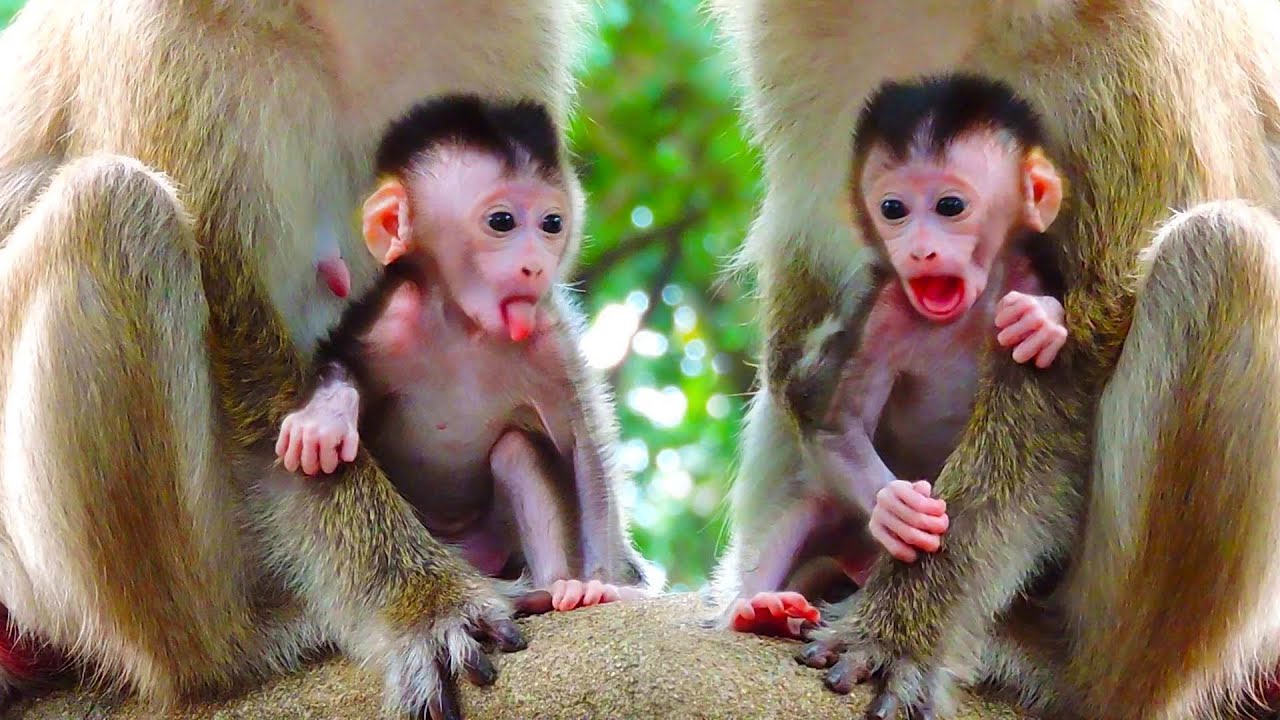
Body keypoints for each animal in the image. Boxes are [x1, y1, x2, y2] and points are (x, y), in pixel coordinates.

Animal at [274, 94, 657, 614]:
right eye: (502, 222)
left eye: (552, 224)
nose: (535, 265)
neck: (464, 325)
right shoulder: (392, 318)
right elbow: (341, 357)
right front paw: (325, 418)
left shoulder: (549, 343)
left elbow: (583, 449)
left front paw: (602, 582)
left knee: (516, 450)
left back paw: (551, 587)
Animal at [726, 74, 1070, 639]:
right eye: (894, 210)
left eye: (950, 207)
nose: (918, 249)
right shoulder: (884, 313)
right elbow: (837, 427)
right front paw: (896, 508)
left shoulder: (1025, 271)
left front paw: (1041, 323)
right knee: (804, 513)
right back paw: (759, 605)